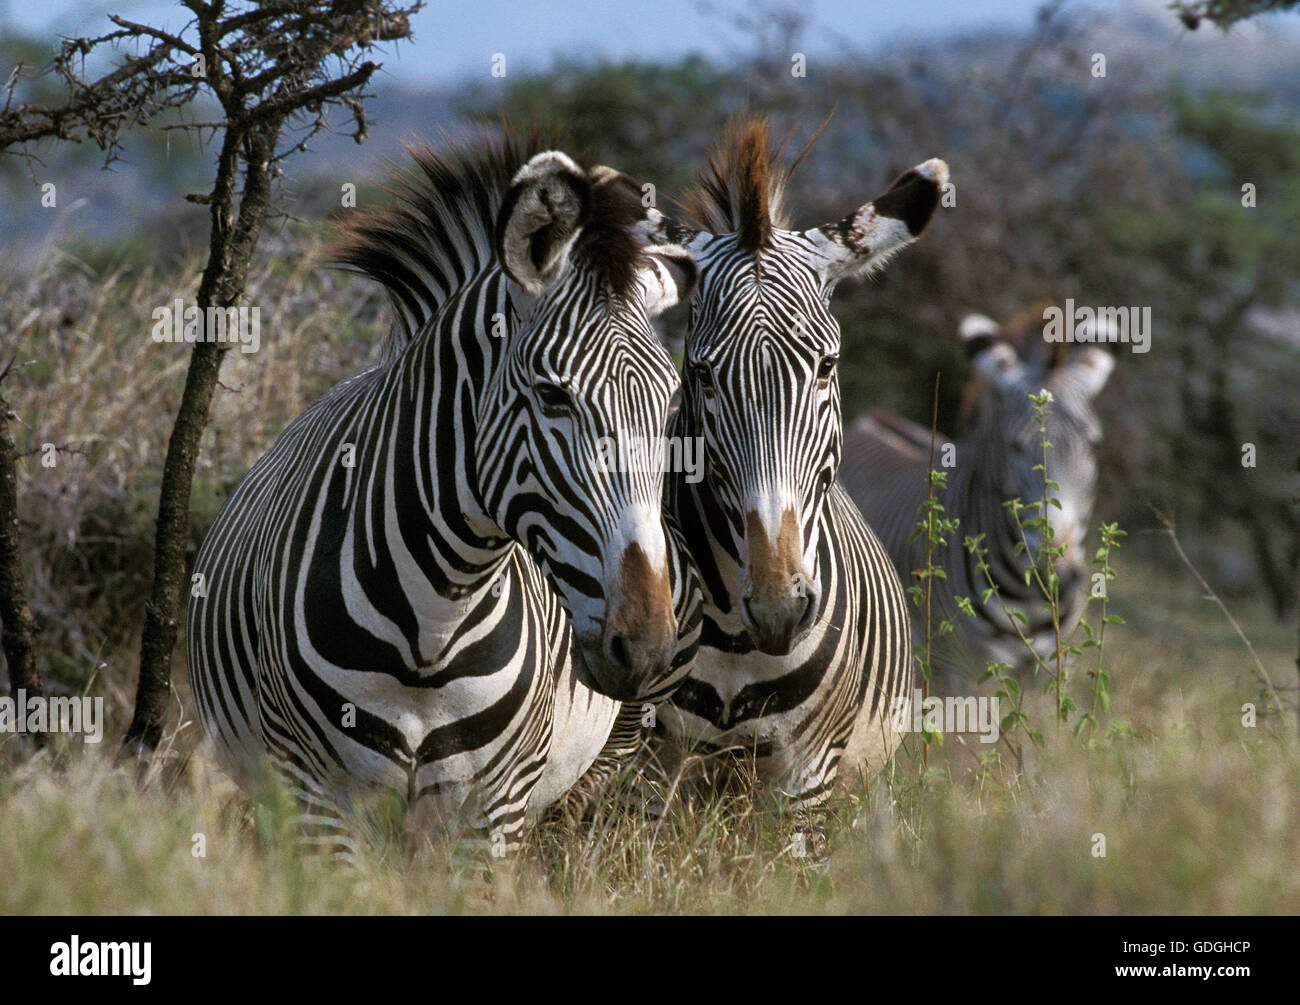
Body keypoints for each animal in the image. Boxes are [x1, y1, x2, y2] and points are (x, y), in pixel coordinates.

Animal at [184, 135, 707, 852]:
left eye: (669, 404)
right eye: (553, 396)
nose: (646, 643)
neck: (432, 624)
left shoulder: (491, 810)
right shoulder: (322, 801)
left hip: (632, 726)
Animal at [595, 119, 946, 806]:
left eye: (828, 366)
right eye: (701, 375)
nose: (780, 609)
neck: (737, 641)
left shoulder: (806, 780)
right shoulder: (644, 772)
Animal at [837, 309, 1123, 686]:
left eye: (1094, 446)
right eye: (1014, 446)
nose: (1059, 576)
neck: (1028, 599)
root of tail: (872, 417)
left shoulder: (1054, 670)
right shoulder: (961, 671)